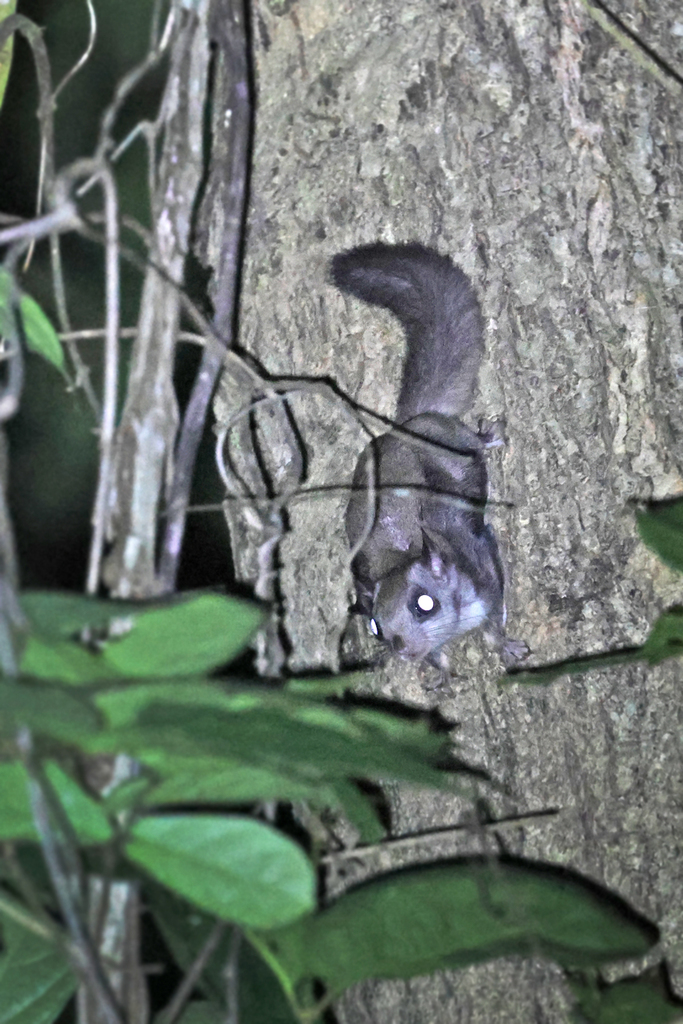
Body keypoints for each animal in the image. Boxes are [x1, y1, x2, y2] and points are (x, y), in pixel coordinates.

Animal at [331, 242, 525, 665]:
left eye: (424, 604)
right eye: (375, 627)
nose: (402, 652)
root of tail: (407, 429)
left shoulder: (484, 570)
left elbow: (493, 620)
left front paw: (506, 645)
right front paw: (440, 669)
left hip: (456, 446)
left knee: (473, 445)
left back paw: (490, 437)